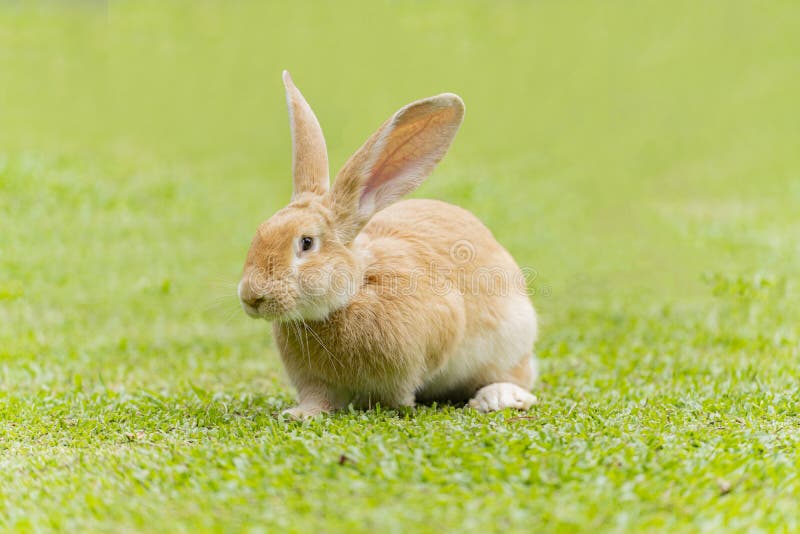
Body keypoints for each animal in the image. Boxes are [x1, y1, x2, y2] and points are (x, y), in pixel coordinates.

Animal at [238, 71, 538, 419]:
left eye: (307, 243)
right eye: (259, 232)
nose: (251, 297)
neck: (354, 290)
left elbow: (397, 393)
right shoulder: (315, 382)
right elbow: (318, 398)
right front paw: (300, 414)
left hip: (511, 340)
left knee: (514, 375)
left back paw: (497, 397)